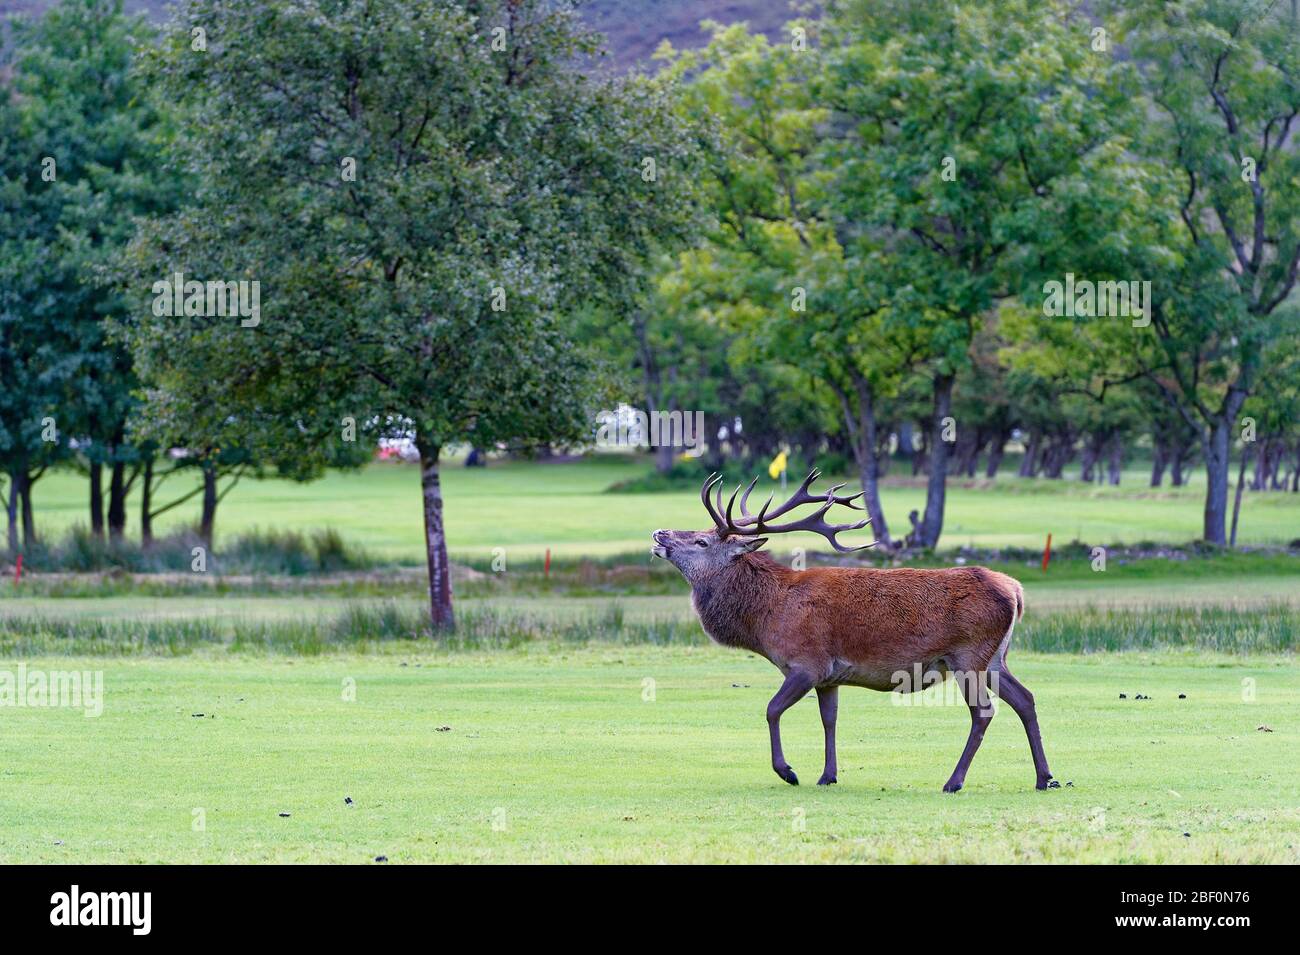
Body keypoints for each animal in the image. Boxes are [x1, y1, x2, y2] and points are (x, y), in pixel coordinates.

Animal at [650, 469, 1055, 793]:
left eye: (702, 541)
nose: (659, 533)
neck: (767, 619)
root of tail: (1014, 590)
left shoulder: (806, 662)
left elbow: (771, 709)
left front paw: (788, 772)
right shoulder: (829, 676)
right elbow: (829, 719)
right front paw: (827, 775)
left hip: (969, 655)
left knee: (983, 712)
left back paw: (953, 782)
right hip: (996, 658)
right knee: (1026, 699)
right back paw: (1045, 777)